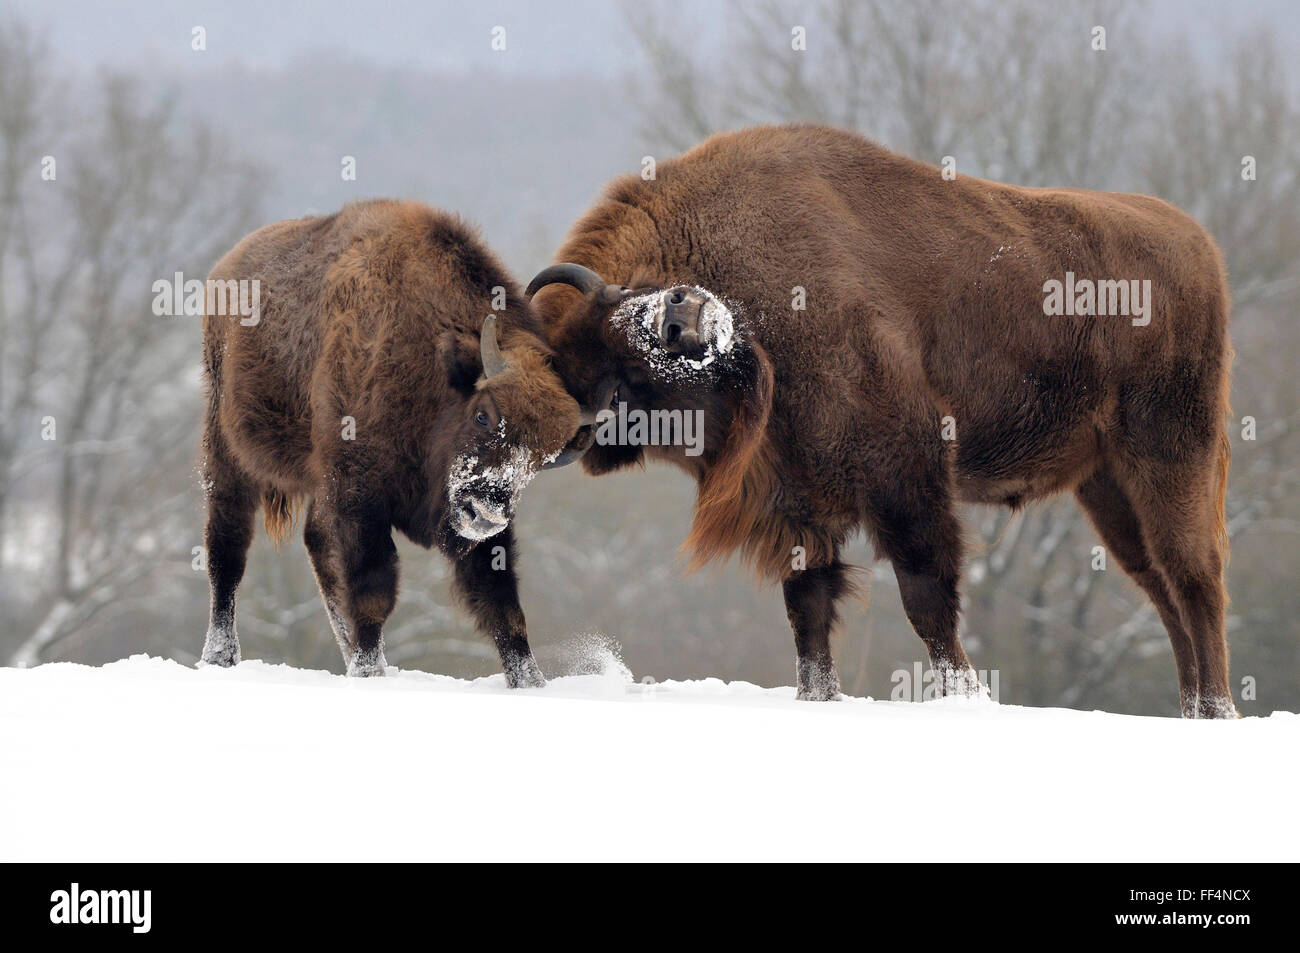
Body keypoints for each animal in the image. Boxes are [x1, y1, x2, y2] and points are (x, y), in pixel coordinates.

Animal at [199, 199, 600, 684]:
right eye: (483, 414)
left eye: (543, 457)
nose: (485, 513)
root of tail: (225, 268)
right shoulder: (360, 495)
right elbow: (374, 591)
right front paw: (368, 672)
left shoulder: (479, 535)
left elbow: (504, 607)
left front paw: (532, 683)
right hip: (226, 449)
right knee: (228, 546)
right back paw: (220, 656)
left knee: (317, 546)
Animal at [528, 124, 1236, 718]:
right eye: (619, 391)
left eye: (623, 296)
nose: (680, 316)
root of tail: (1199, 246)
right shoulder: (800, 508)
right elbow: (810, 611)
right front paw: (820, 698)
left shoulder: (904, 478)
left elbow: (926, 598)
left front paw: (965, 698)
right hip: (1107, 483)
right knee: (1161, 585)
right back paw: (1195, 710)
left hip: (1170, 456)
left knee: (1193, 577)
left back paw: (1217, 710)